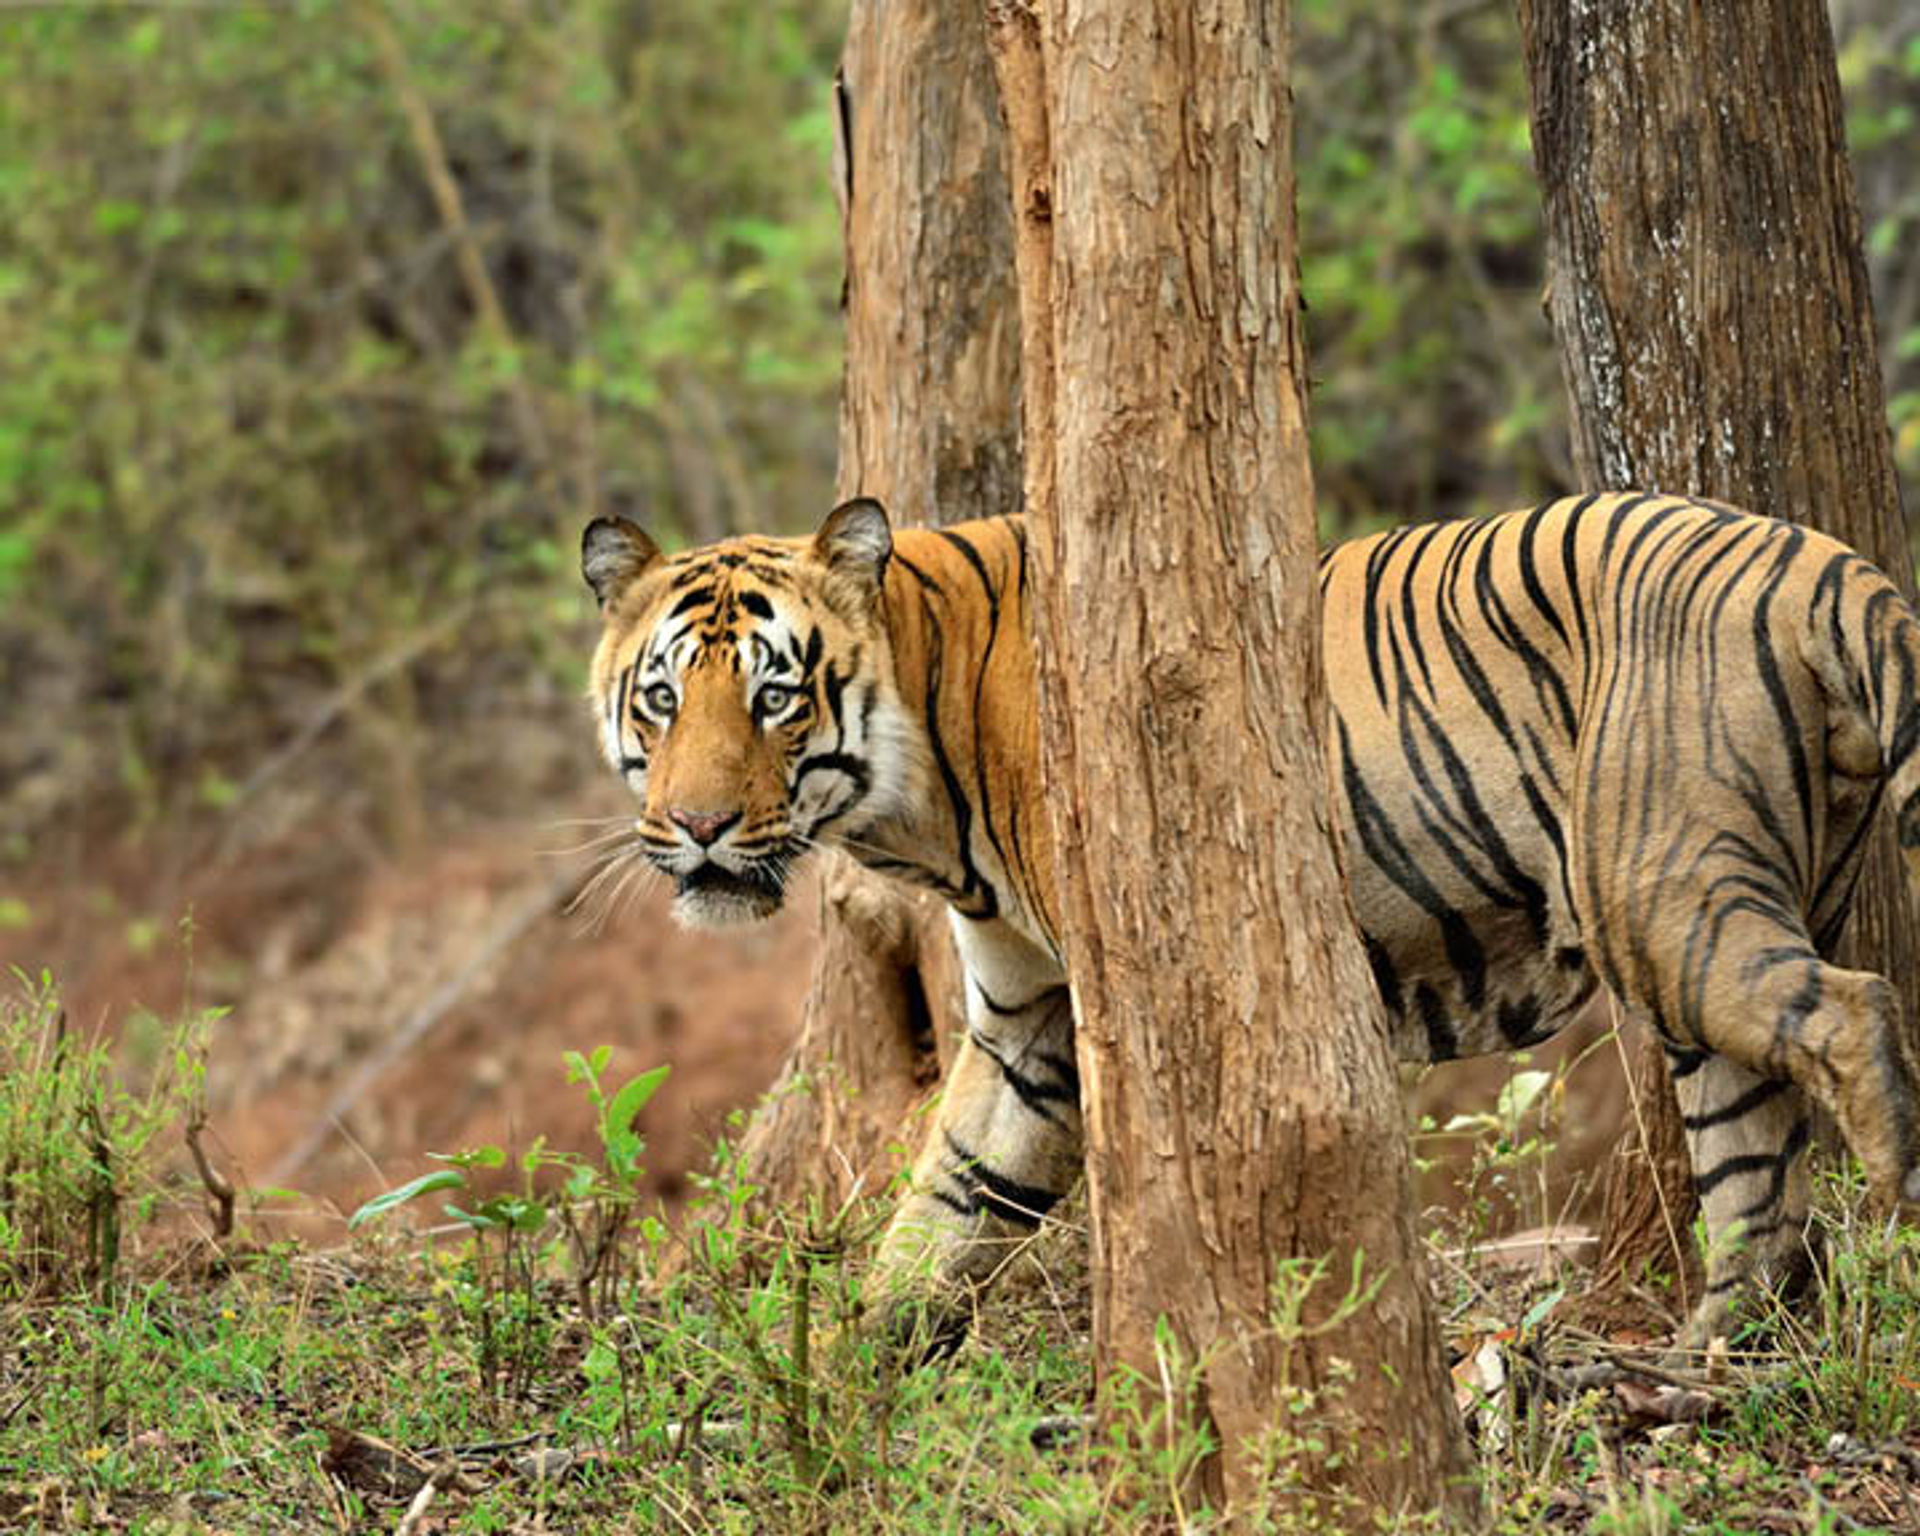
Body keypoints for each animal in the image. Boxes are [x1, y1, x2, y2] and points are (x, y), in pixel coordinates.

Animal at [581, 490, 1920, 1355]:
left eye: (775, 699)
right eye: (662, 701)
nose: (698, 827)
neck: (913, 792)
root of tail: (1827, 566)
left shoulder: (1114, 993)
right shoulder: (1027, 1021)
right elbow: (947, 1202)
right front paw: (852, 1379)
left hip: (1661, 892)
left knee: (1855, 1018)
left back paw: (1893, 1261)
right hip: (1710, 932)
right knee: (1757, 1149)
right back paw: (1714, 1357)